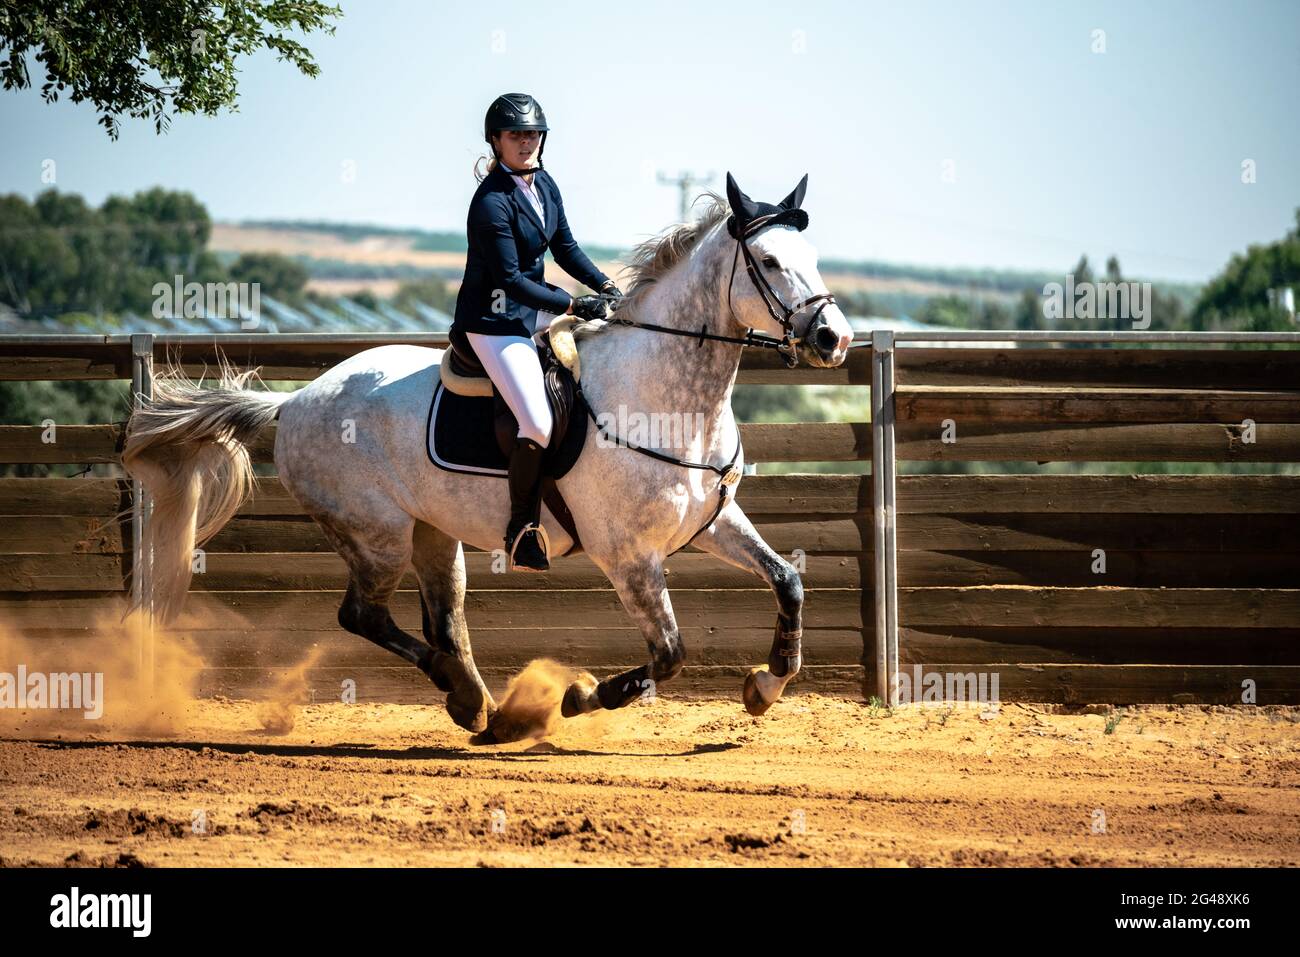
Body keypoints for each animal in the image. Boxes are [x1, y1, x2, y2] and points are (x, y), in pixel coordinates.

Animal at [122, 173, 854, 740]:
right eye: (768, 261)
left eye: (814, 254)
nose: (834, 338)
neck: (668, 401)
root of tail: (295, 400)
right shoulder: (629, 557)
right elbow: (670, 654)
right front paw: (578, 698)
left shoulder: (712, 524)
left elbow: (788, 581)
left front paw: (764, 685)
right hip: (376, 534)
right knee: (363, 615)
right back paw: (472, 699)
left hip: (431, 535)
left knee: (444, 618)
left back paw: (479, 706)